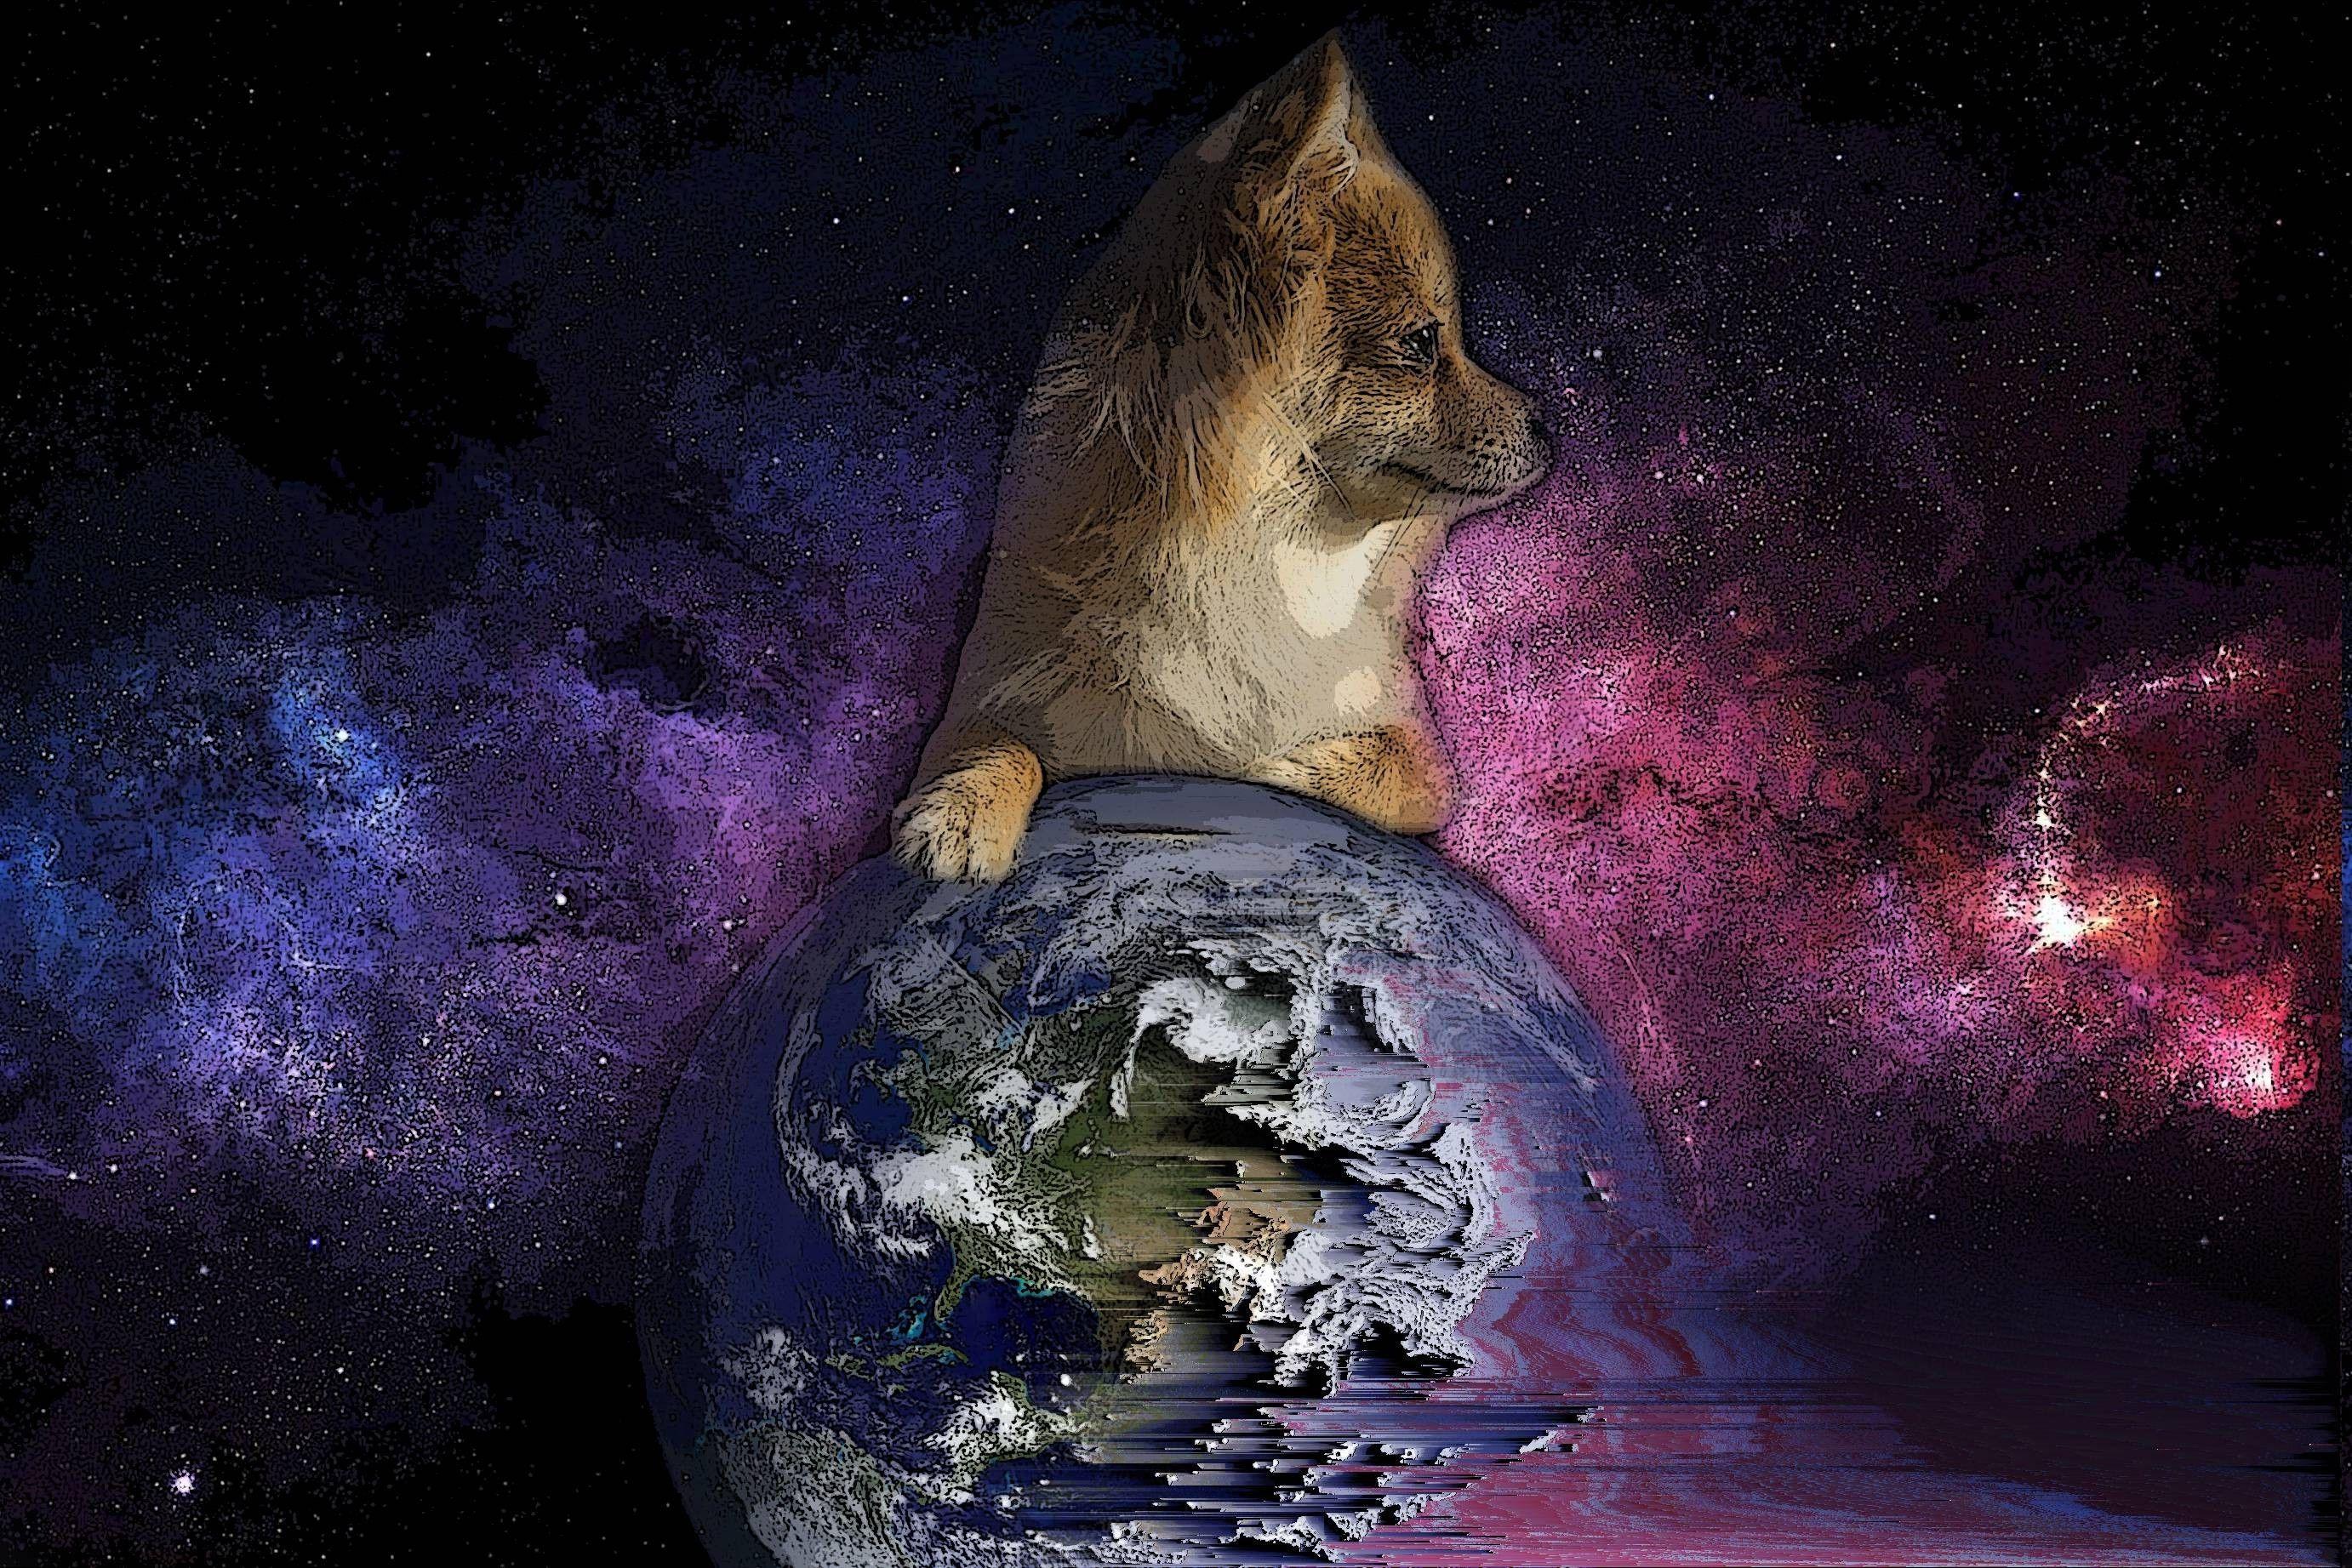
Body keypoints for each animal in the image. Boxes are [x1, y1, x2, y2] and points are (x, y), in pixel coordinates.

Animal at [891, 33, 1551, 881]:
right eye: (1421, 343)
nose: (1546, 426)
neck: (1265, 562)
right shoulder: (1000, 693)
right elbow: (995, 745)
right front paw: (960, 810)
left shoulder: (1412, 749)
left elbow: (1382, 768)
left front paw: (1278, 766)